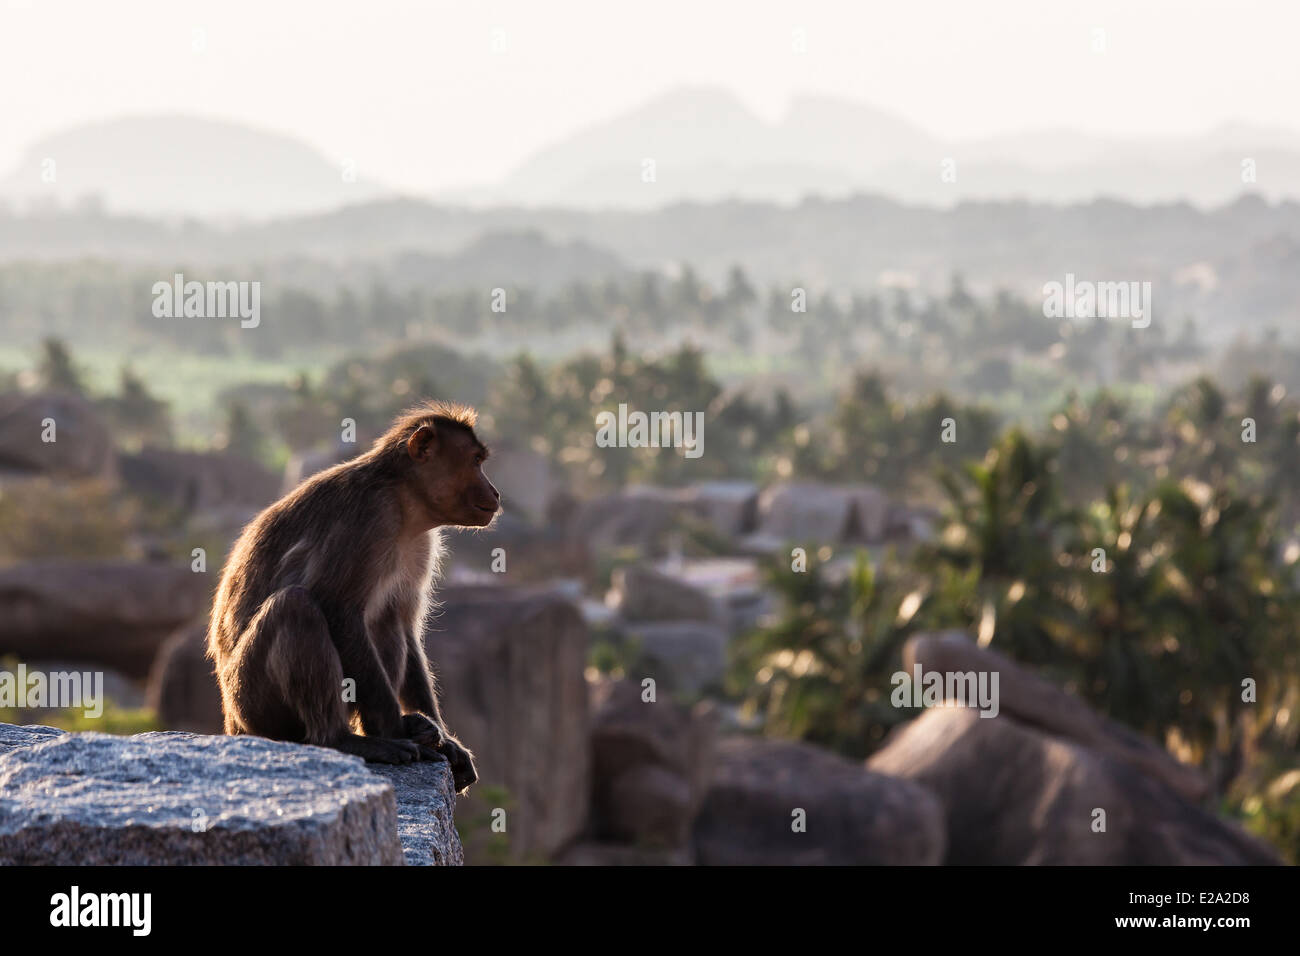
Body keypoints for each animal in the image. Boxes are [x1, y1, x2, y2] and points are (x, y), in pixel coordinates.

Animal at [206, 400, 498, 792]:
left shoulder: (421, 543)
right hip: (251, 702)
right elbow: (337, 610)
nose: (495, 493)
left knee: (384, 624)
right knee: (297, 606)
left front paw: (444, 739)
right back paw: (343, 739)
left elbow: (403, 625)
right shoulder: (368, 518)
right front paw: (395, 730)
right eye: (475, 461)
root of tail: (231, 722)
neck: (404, 502)